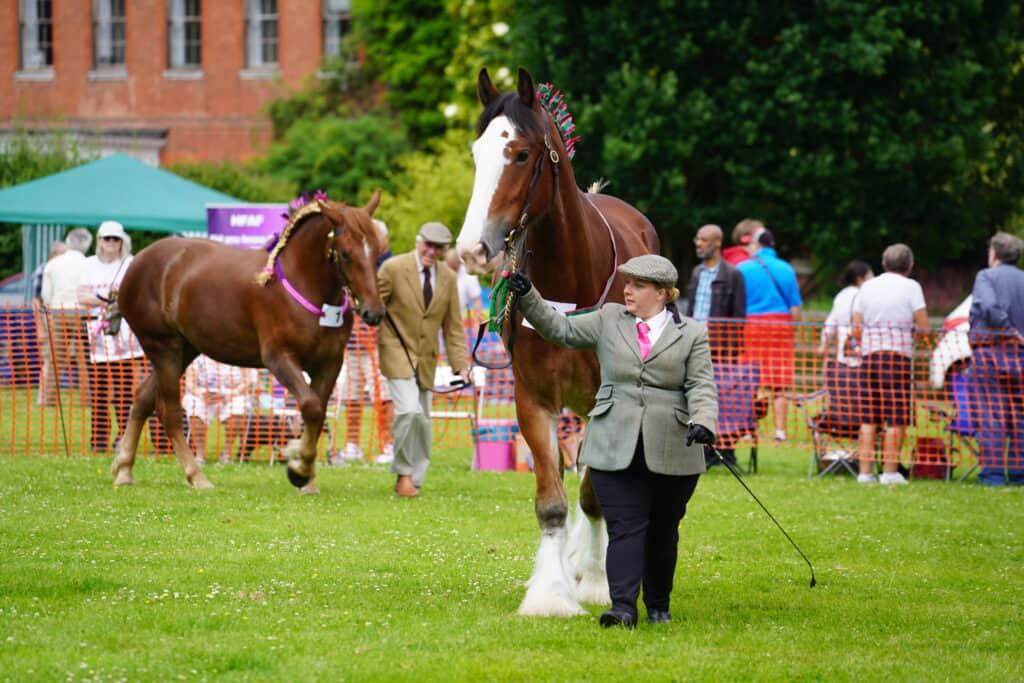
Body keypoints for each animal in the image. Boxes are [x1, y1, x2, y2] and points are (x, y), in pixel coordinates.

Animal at [110, 192, 386, 493]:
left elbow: (317, 412)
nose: (374, 312)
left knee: (142, 398)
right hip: (164, 348)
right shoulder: (279, 359)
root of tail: (136, 264)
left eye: (378, 250)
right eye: (346, 253)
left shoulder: (329, 364)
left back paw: (124, 469)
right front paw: (299, 470)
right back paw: (196, 475)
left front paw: (307, 477)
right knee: (169, 411)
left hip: (184, 350)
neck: (305, 287)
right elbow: (311, 407)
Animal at [457, 68, 660, 616]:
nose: (472, 248)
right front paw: (551, 592)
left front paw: (595, 581)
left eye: (521, 153)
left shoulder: (605, 403)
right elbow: (551, 500)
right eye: (477, 152)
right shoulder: (534, 401)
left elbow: (595, 494)